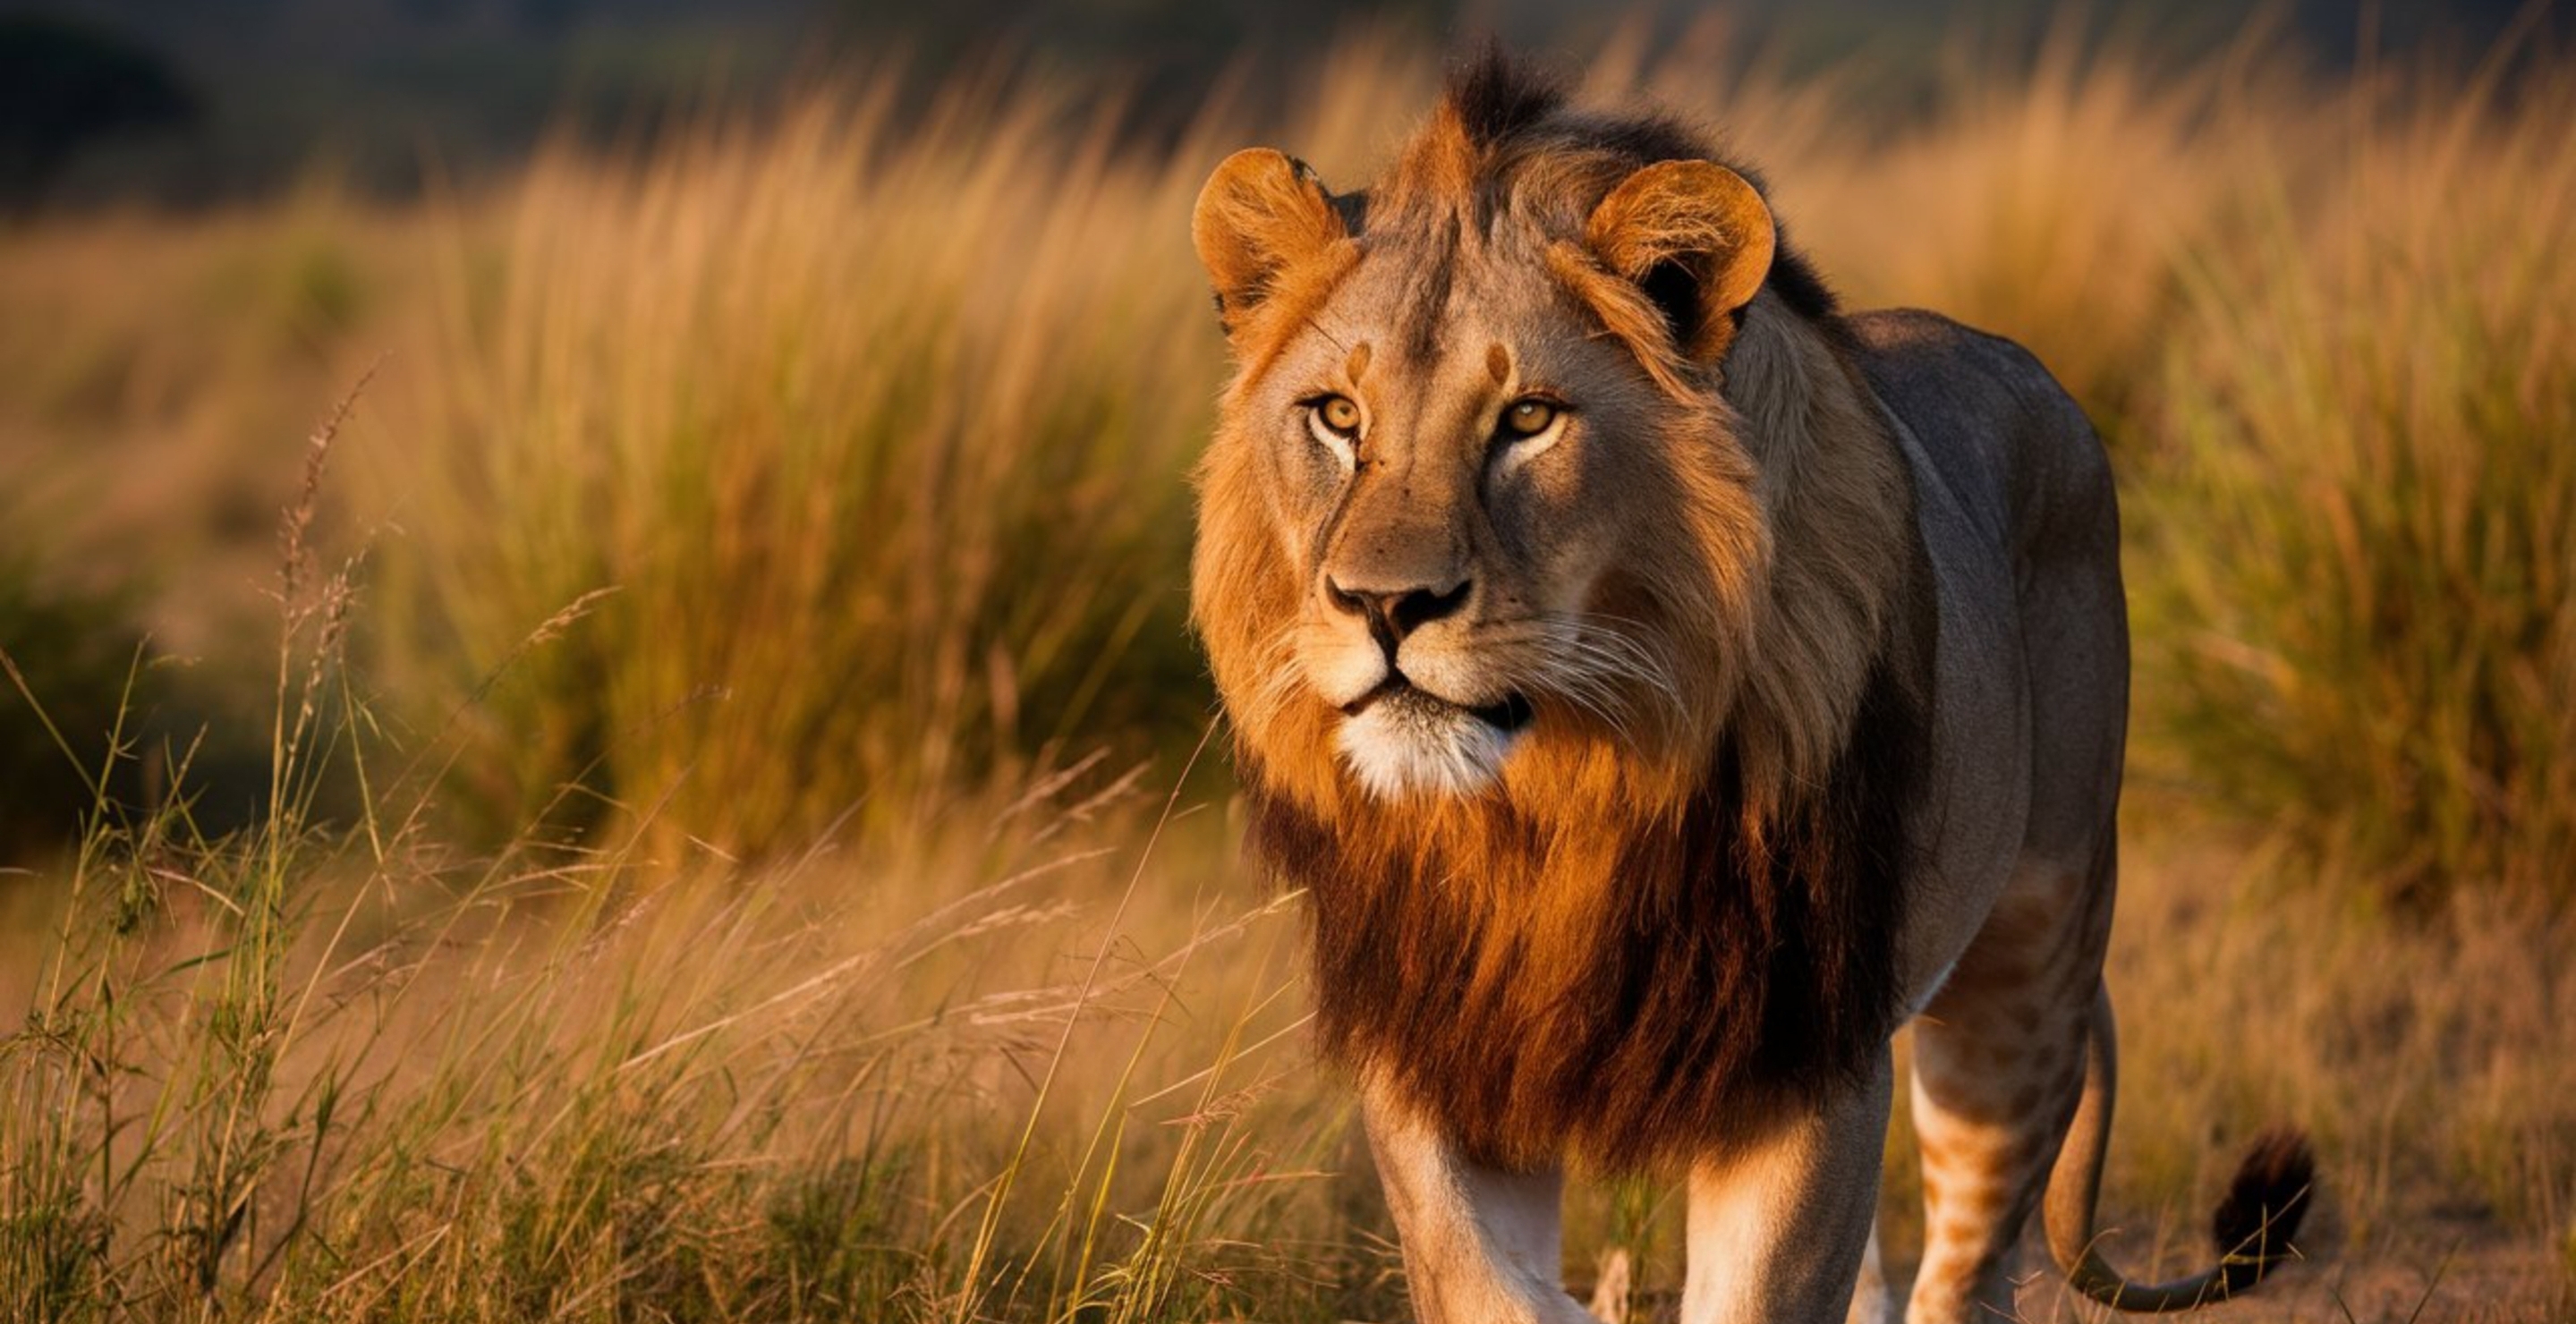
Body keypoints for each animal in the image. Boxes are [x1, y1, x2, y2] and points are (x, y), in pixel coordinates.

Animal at [1185, 51, 2313, 1324]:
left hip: (2033, 958)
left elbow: (1760, 1290)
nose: (1383, 605)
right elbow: (1485, 1284)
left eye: (1527, 419)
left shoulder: (1804, 1063)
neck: (1549, 808)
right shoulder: (1438, 1049)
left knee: (1967, 1269)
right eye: (1336, 415)